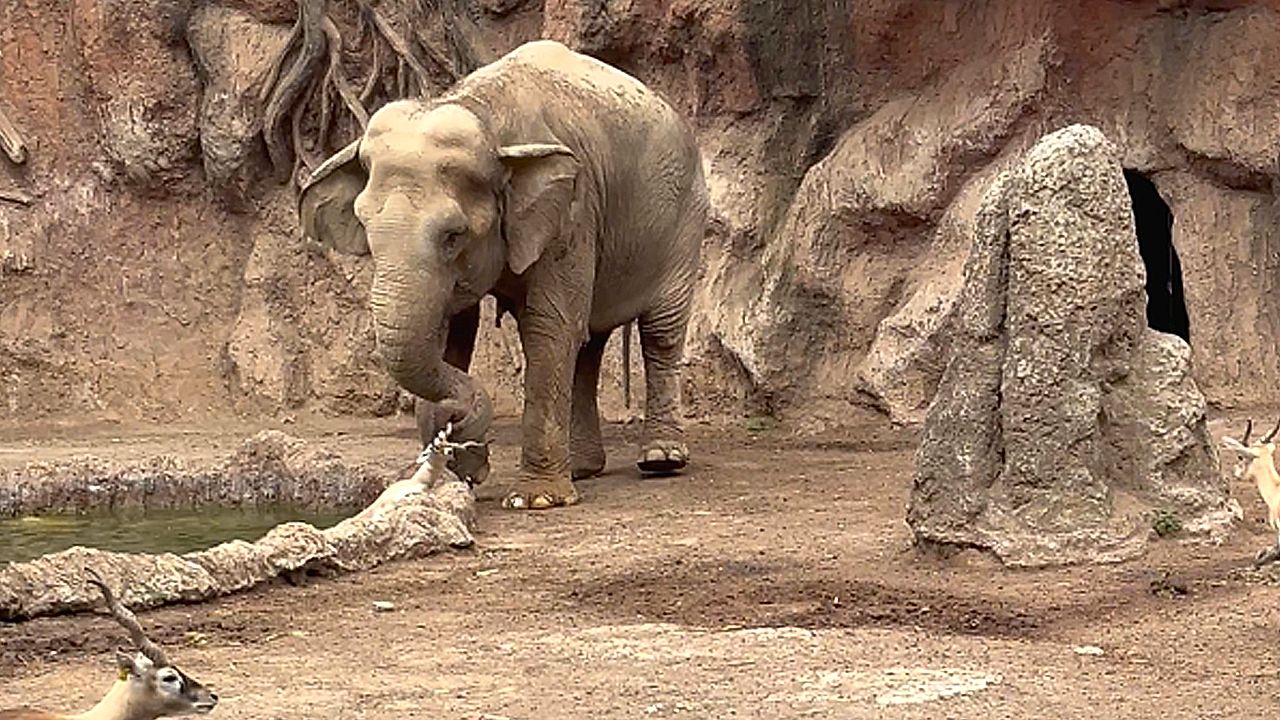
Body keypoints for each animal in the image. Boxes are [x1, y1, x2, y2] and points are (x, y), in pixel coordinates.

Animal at [297, 40, 707, 510]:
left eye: (453, 235)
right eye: (364, 225)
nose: (454, 430)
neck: (483, 114)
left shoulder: (573, 211)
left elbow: (549, 326)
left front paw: (536, 501)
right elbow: (452, 333)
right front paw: (458, 476)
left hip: (685, 220)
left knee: (658, 330)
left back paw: (660, 460)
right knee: (588, 342)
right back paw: (583, 469)